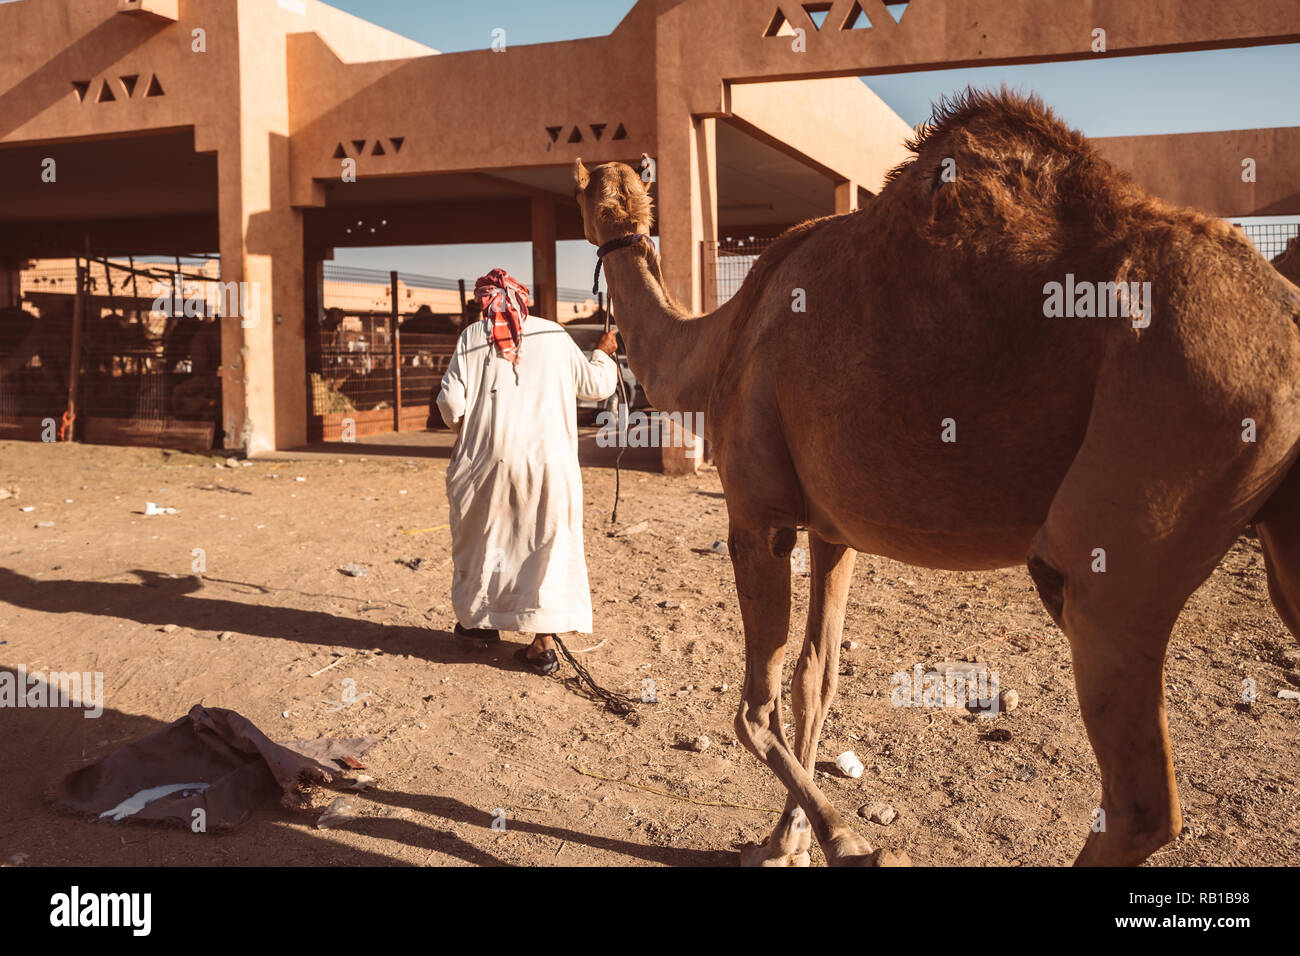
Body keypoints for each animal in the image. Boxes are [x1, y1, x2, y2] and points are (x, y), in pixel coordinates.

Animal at [572, 88, 1300, 867]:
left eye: (585, 194)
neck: (717, 342)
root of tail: (1286, 316)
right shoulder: (832, 529)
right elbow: (814, 681)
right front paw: (786, 838)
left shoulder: (757, 512)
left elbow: (753, 708)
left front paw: (844, 840)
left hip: (1169, 451)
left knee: (1141, 799)